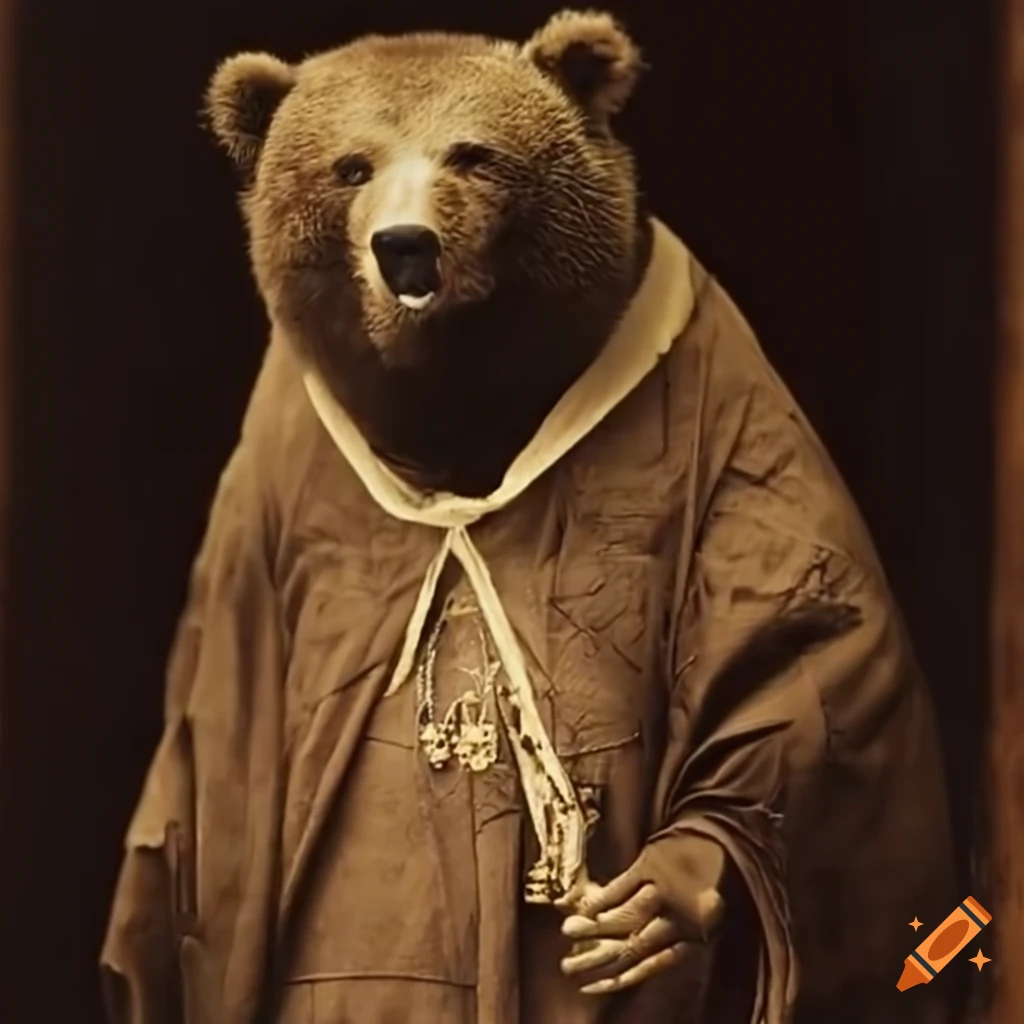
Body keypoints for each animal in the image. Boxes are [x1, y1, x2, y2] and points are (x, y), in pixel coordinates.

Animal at [100, 11, 956, 1024]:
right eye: (351, 166)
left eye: (473, 154)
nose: (404, 245)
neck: (461, 436)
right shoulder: (274, 502)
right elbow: (212, 760)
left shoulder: (715, 401)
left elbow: (800, 644)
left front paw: (663, 888)